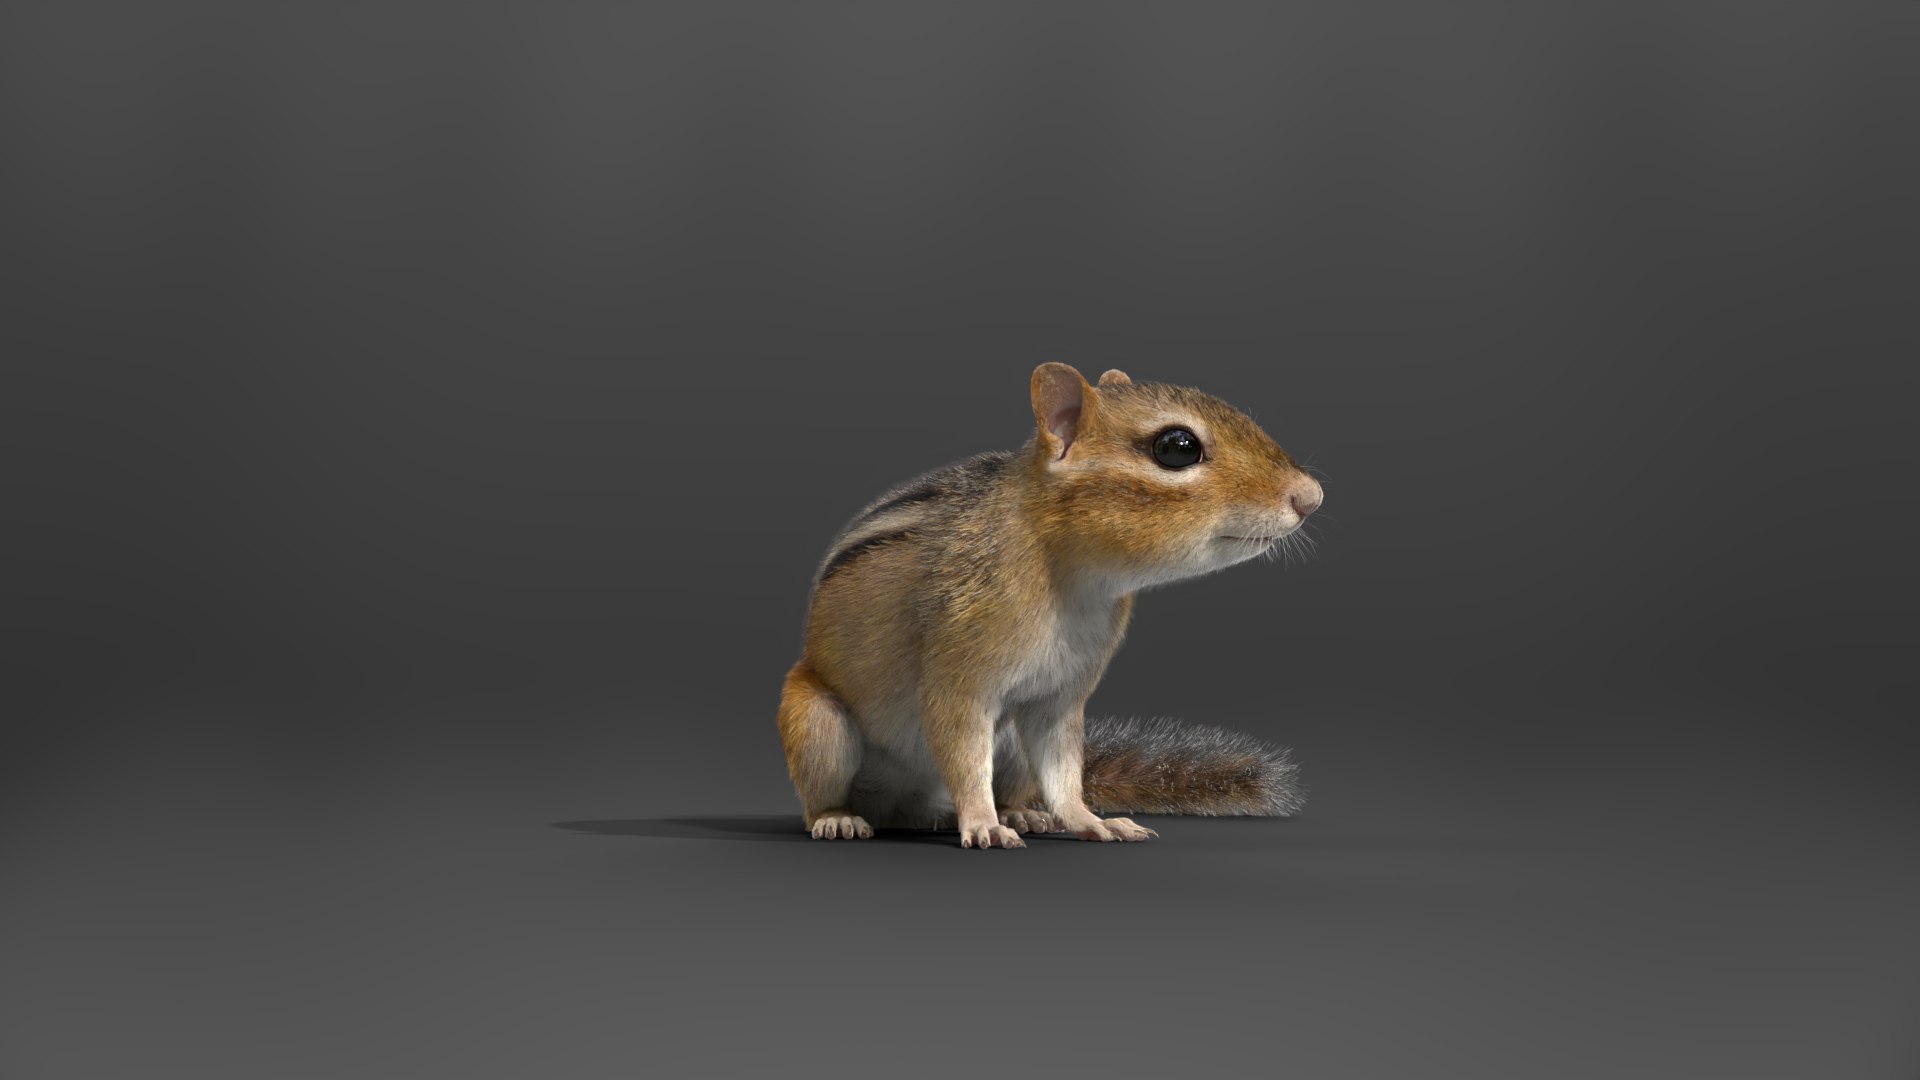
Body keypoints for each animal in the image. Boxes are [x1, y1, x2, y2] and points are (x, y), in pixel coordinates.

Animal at [776, 363, 1323, 849]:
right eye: (1176, 447)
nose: (1312, 497)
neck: (1074, 580)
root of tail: (905, 804)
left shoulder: (1062, 695)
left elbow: (1063, 769)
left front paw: (1089, 820)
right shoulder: (956, 674)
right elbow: (962, 751)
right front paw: (983, 823)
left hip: (1011, 743)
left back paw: (1020, 812)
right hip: (818, 726)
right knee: (823, 797)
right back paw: (839, 818)